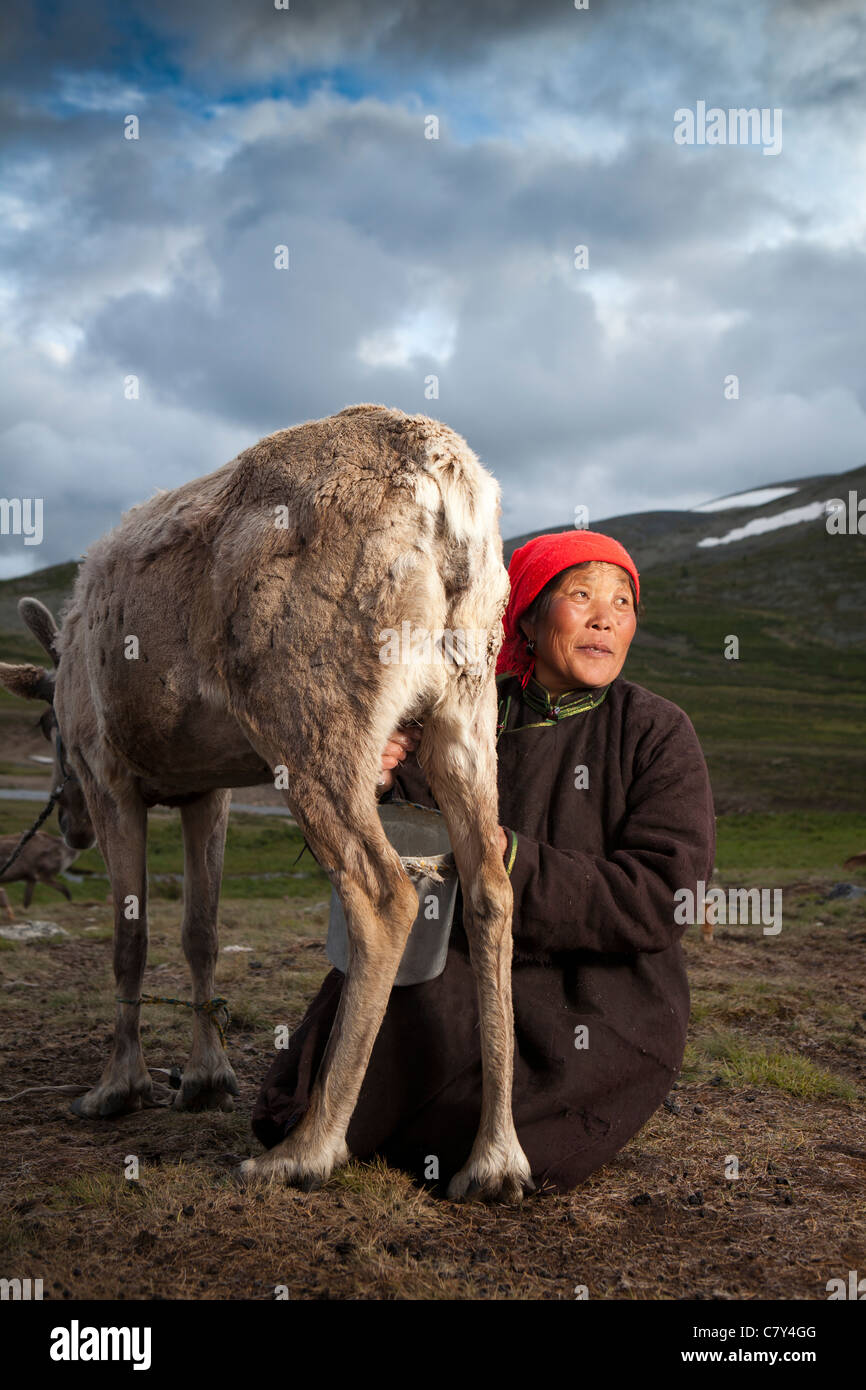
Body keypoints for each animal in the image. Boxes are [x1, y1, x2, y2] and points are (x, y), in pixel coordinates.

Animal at [0, 405, 533, 1203]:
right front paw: (205, 1077)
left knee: (383, 892)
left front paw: (118, 1087)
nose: (67, 827)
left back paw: (307, 1149)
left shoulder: (109, 774)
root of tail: (449, 486)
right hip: (465, 707)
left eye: (45, 729)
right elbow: (201, 932)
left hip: (307, 718)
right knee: (492, 885)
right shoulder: (209, 787)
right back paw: (496, 1159)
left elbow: (130, 939)